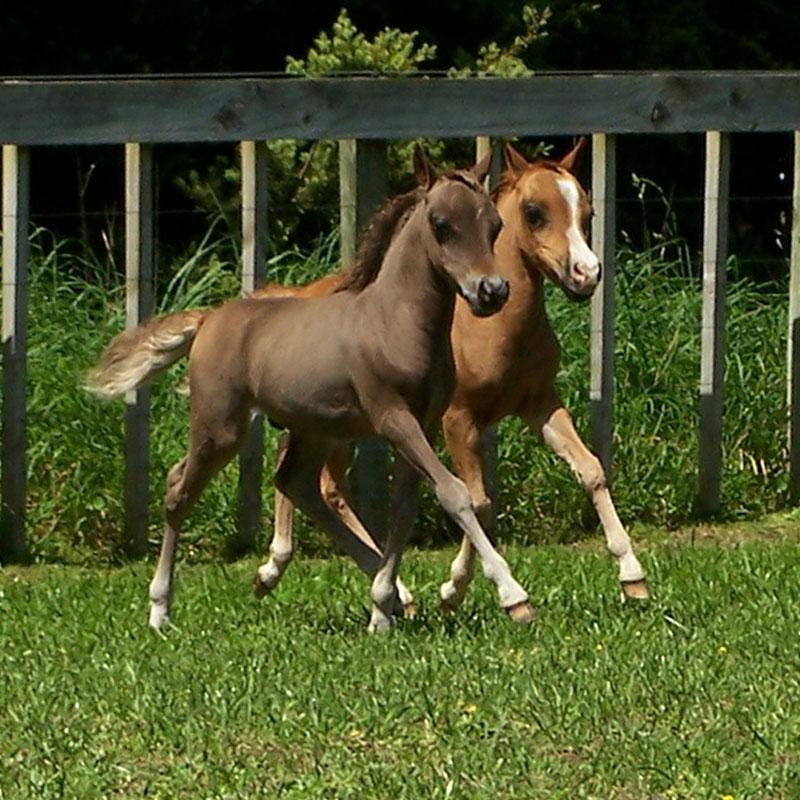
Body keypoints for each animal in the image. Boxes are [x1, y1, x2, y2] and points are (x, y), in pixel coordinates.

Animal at [86, 147, 537, 633]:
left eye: (494, 224)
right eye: (441, 224)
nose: (491, 291)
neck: (395, 322)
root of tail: (208, 319)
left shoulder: (424, 423)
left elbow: (405, 508)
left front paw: (381, 608)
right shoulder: (392, 417)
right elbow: (454, 494)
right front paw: (513, 595)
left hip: (315, 430)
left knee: (296, 484)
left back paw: (388, 594)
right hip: (221, 426)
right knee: (178, 489)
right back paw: (159, 609)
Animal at [250, 139, 649, 610]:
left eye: (588, 211)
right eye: (534, 212)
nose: (586, 274)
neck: (495, 328)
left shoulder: (540, 405)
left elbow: (590, 469)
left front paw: (632, 574)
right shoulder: (460, 420)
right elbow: (477, 501)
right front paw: (457, 588)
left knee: (305, 476)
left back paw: (279, 570)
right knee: (322, 484)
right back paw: (382, 587)